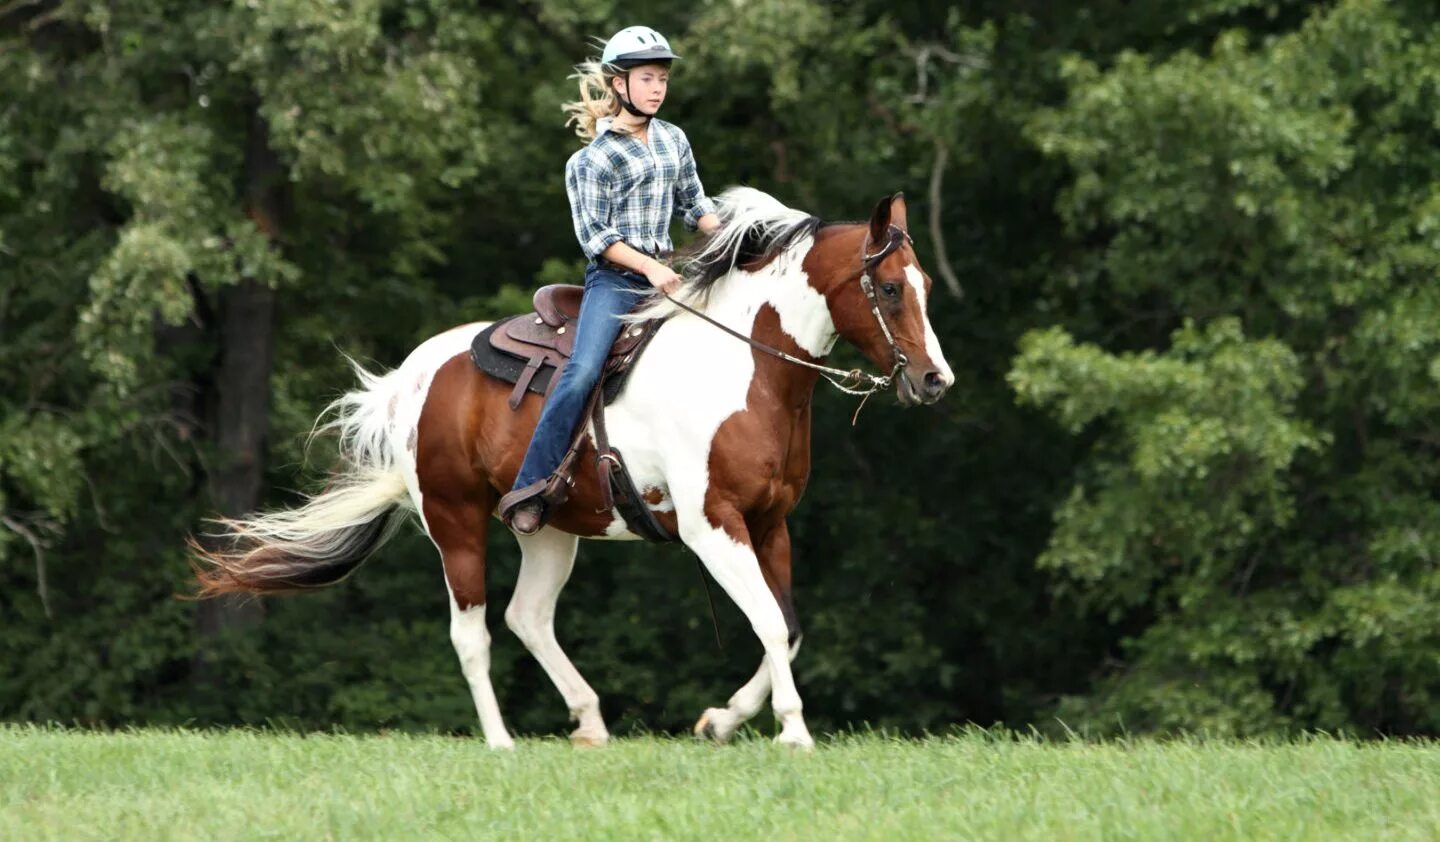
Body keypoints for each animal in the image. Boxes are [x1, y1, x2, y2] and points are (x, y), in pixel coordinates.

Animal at [194, 185, 956, 748]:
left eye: (923, 282)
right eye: (890, 289)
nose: (935, 380)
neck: (745, 369)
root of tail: (411, 379)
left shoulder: (771, 523)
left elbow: (788, 628)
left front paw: (721, 721)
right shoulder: (713, 526)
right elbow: (768, 621)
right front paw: (792, 733)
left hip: (549, 529)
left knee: (528, 616)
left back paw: (589, 721)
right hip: (454, 520)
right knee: (472, 632)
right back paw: (500, 742)